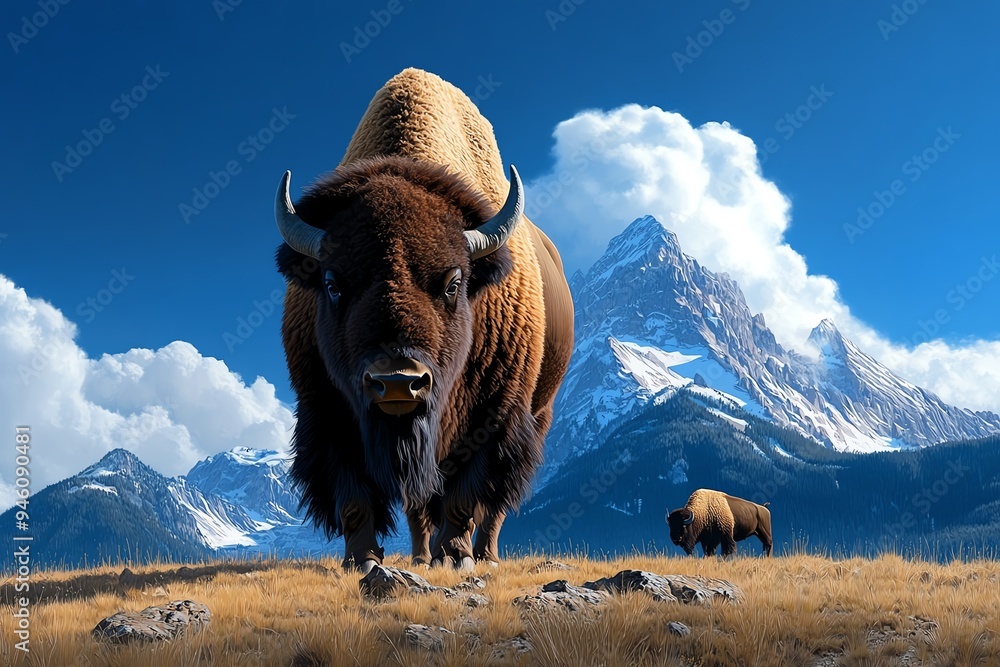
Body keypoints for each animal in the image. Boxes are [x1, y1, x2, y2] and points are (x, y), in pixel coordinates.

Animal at [274, 69, 574, 572]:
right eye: (333, 283)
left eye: (454, 282)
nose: (398, 383)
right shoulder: (327, 413)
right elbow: (356, 498)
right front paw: (362, 561)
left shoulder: (492, 416)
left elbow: (465, 495)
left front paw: (457, 557)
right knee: (419, 505)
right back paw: (420, 556)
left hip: (537, 414)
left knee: (494, 503)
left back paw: (481, 555)